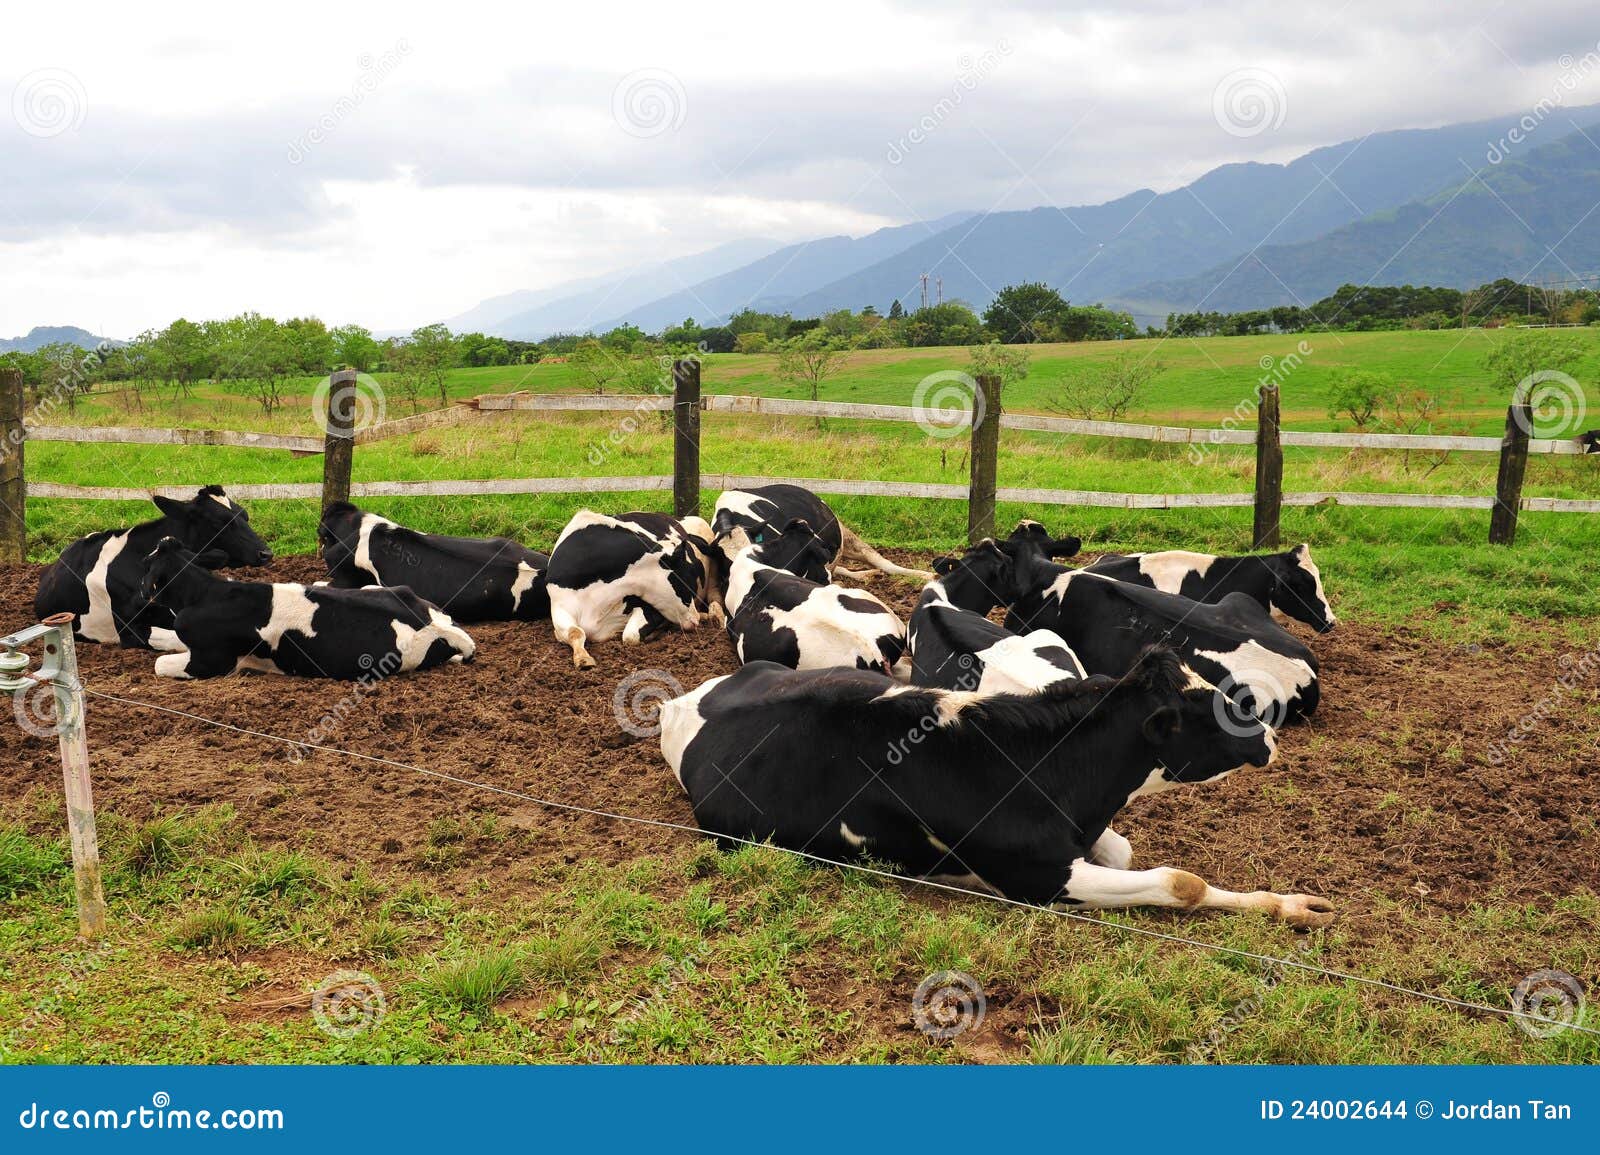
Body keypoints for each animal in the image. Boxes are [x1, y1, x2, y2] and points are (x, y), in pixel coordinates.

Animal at [138, 538, 474, 680]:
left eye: (145, 563)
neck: (205, 594)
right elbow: (164, 637)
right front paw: (155, 635)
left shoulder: (212, 662)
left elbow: (159, 665)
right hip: (376, 589)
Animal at [545, 510, 721, 669]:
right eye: (687, 582)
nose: (695, 620)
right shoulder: (559, 606)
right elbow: (575, 632)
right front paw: (583, 658)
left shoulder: (649, 607)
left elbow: (629, 636)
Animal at [659, 646, 1334, 927]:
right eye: (1204, 710)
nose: (1267, 736)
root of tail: (682, 702)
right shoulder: (1038, 876)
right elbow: (1180, 882)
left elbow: (1126, 852)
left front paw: (1295, 905)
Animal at [711, 483, 933, 581]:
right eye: (725, 562)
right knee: (841, 568)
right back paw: (865, 575)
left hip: (848, 538)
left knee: (885, 563)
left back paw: (926, 575)